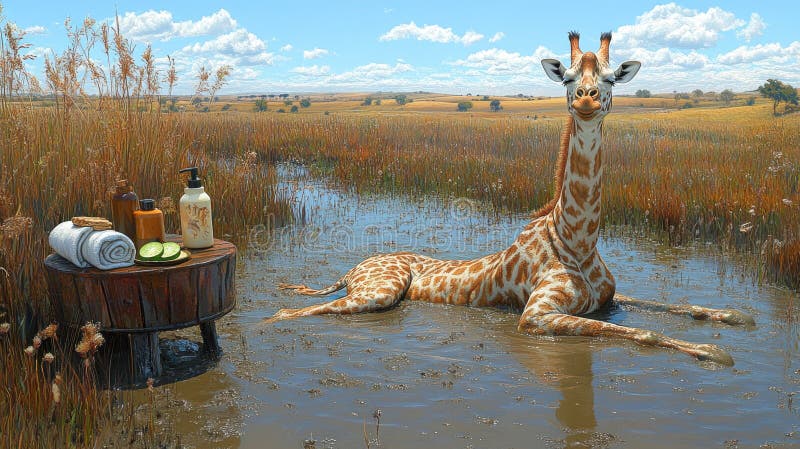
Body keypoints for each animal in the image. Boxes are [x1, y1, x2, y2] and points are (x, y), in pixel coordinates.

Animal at [266, 32, 754, 366]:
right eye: (569, 77)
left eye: (612, 78)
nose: (586, 99)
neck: (578, 240)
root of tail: (354, 267)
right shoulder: (534, 316)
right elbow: (646, 334)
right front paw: (713, 352)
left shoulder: (609, 300)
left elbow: (672, 306)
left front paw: (735, 317)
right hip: (381, 291)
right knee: (294, 311)